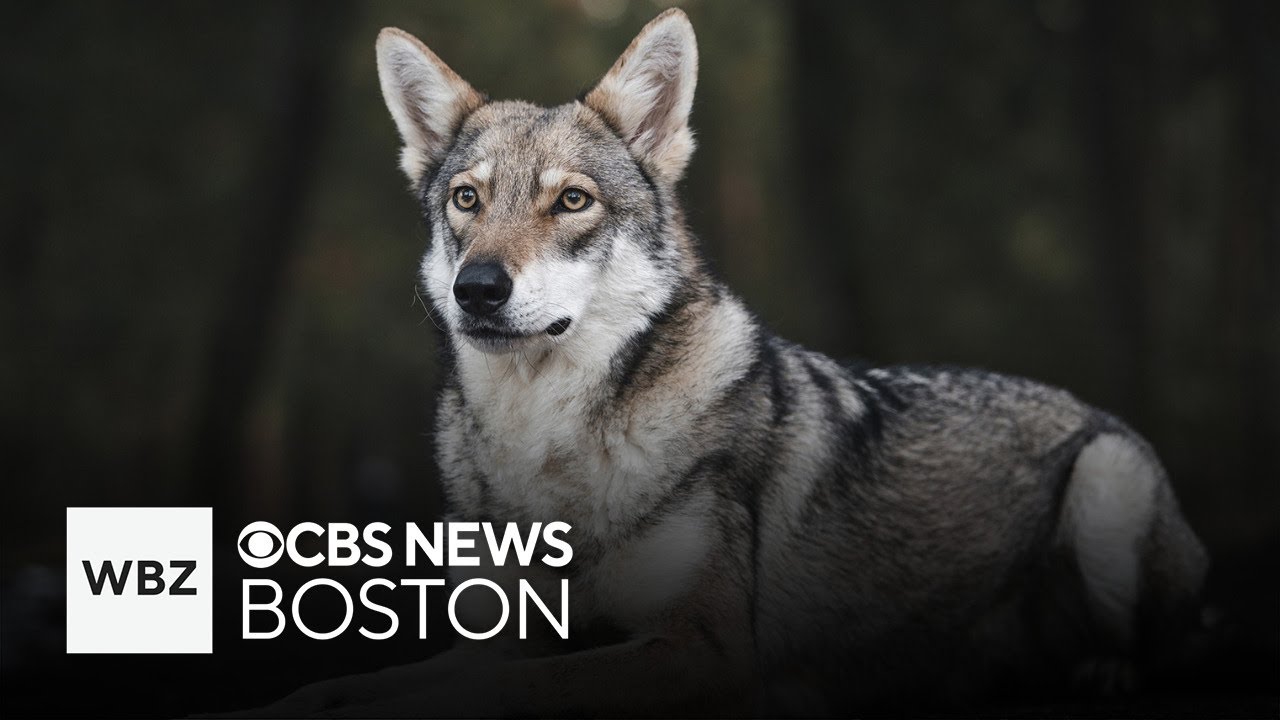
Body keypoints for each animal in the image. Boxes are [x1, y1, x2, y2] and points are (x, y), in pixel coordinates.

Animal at [234, 8, 1208, 717]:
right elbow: (363, 681)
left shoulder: (702, 646)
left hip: (1107, 478)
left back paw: (1105, 672)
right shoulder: (515, 630)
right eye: (467, 201)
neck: (549, 447)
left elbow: (509, 683)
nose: (477, 288)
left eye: (572, 202)